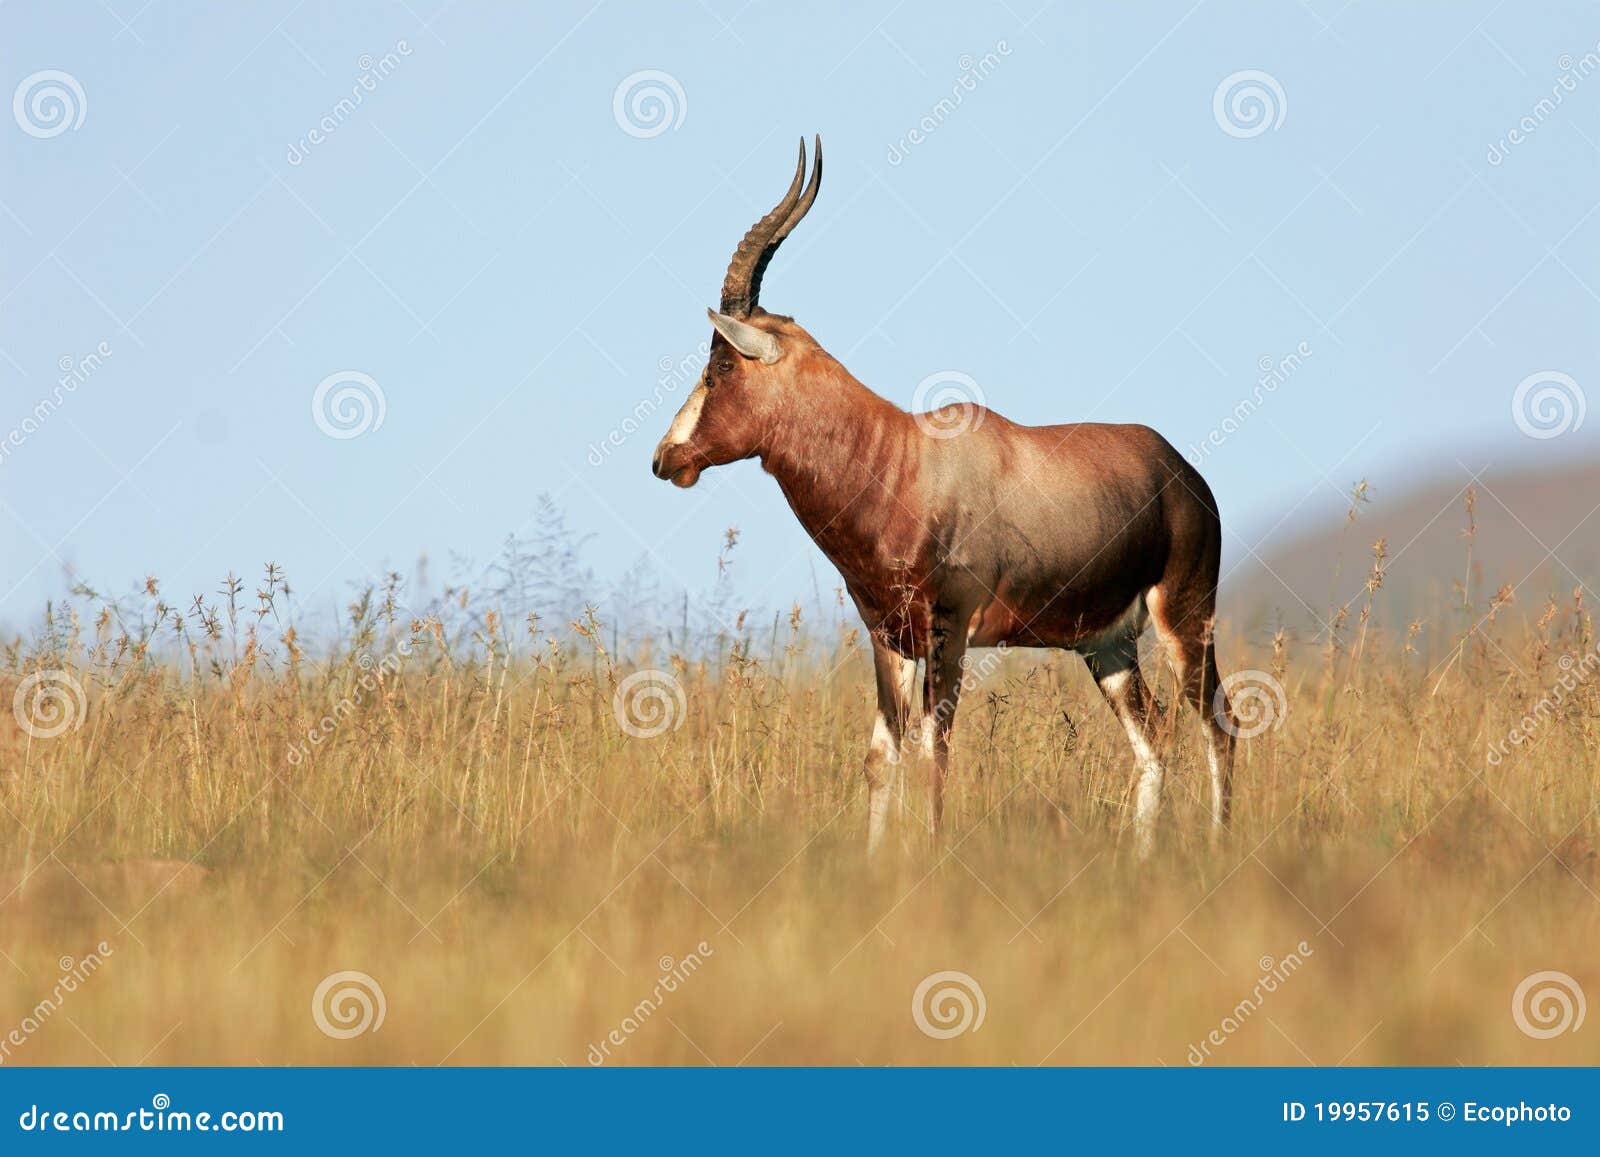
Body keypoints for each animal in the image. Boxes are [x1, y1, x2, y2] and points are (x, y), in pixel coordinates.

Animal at [652, 137, 1237, 856]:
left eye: (719, 366)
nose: (666, 457)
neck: (902, 458)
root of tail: (1184, 473)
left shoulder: (949, 632)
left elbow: (935, 753)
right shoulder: (889, 639)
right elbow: (883, 757)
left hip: (1186, 618)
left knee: (1219, 726)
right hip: (1108, 646)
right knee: (1155, 738)